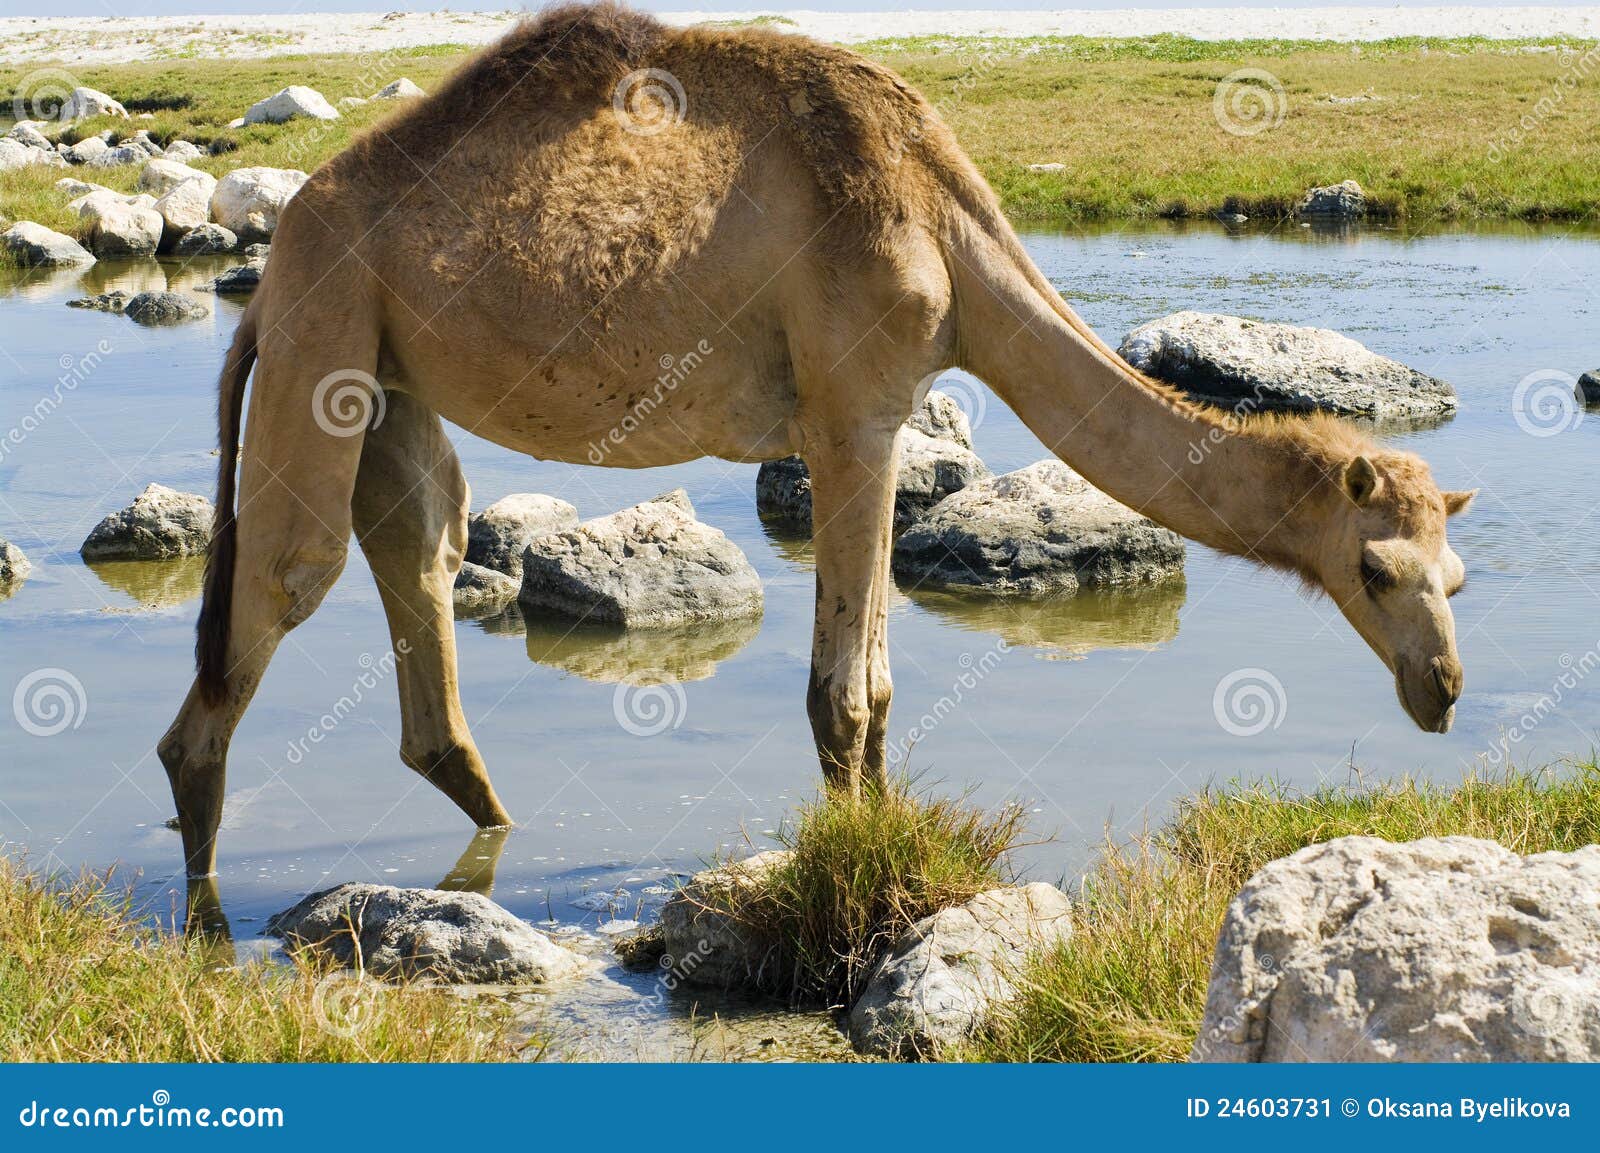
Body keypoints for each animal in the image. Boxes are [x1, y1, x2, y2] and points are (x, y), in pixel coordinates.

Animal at [159, 3, 1474, 881]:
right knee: (277, 591)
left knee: (421, 546)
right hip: (325, 324)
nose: (1443, 688)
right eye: (1374, 568)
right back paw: (208, 911)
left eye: (1454, 574)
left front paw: (885, 846)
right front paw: (853, 880)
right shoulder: (855, 406)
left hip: (387, 370)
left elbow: (879, 688)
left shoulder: (877, 411)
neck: (947, 232)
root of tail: (281, 252)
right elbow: (840, 695)